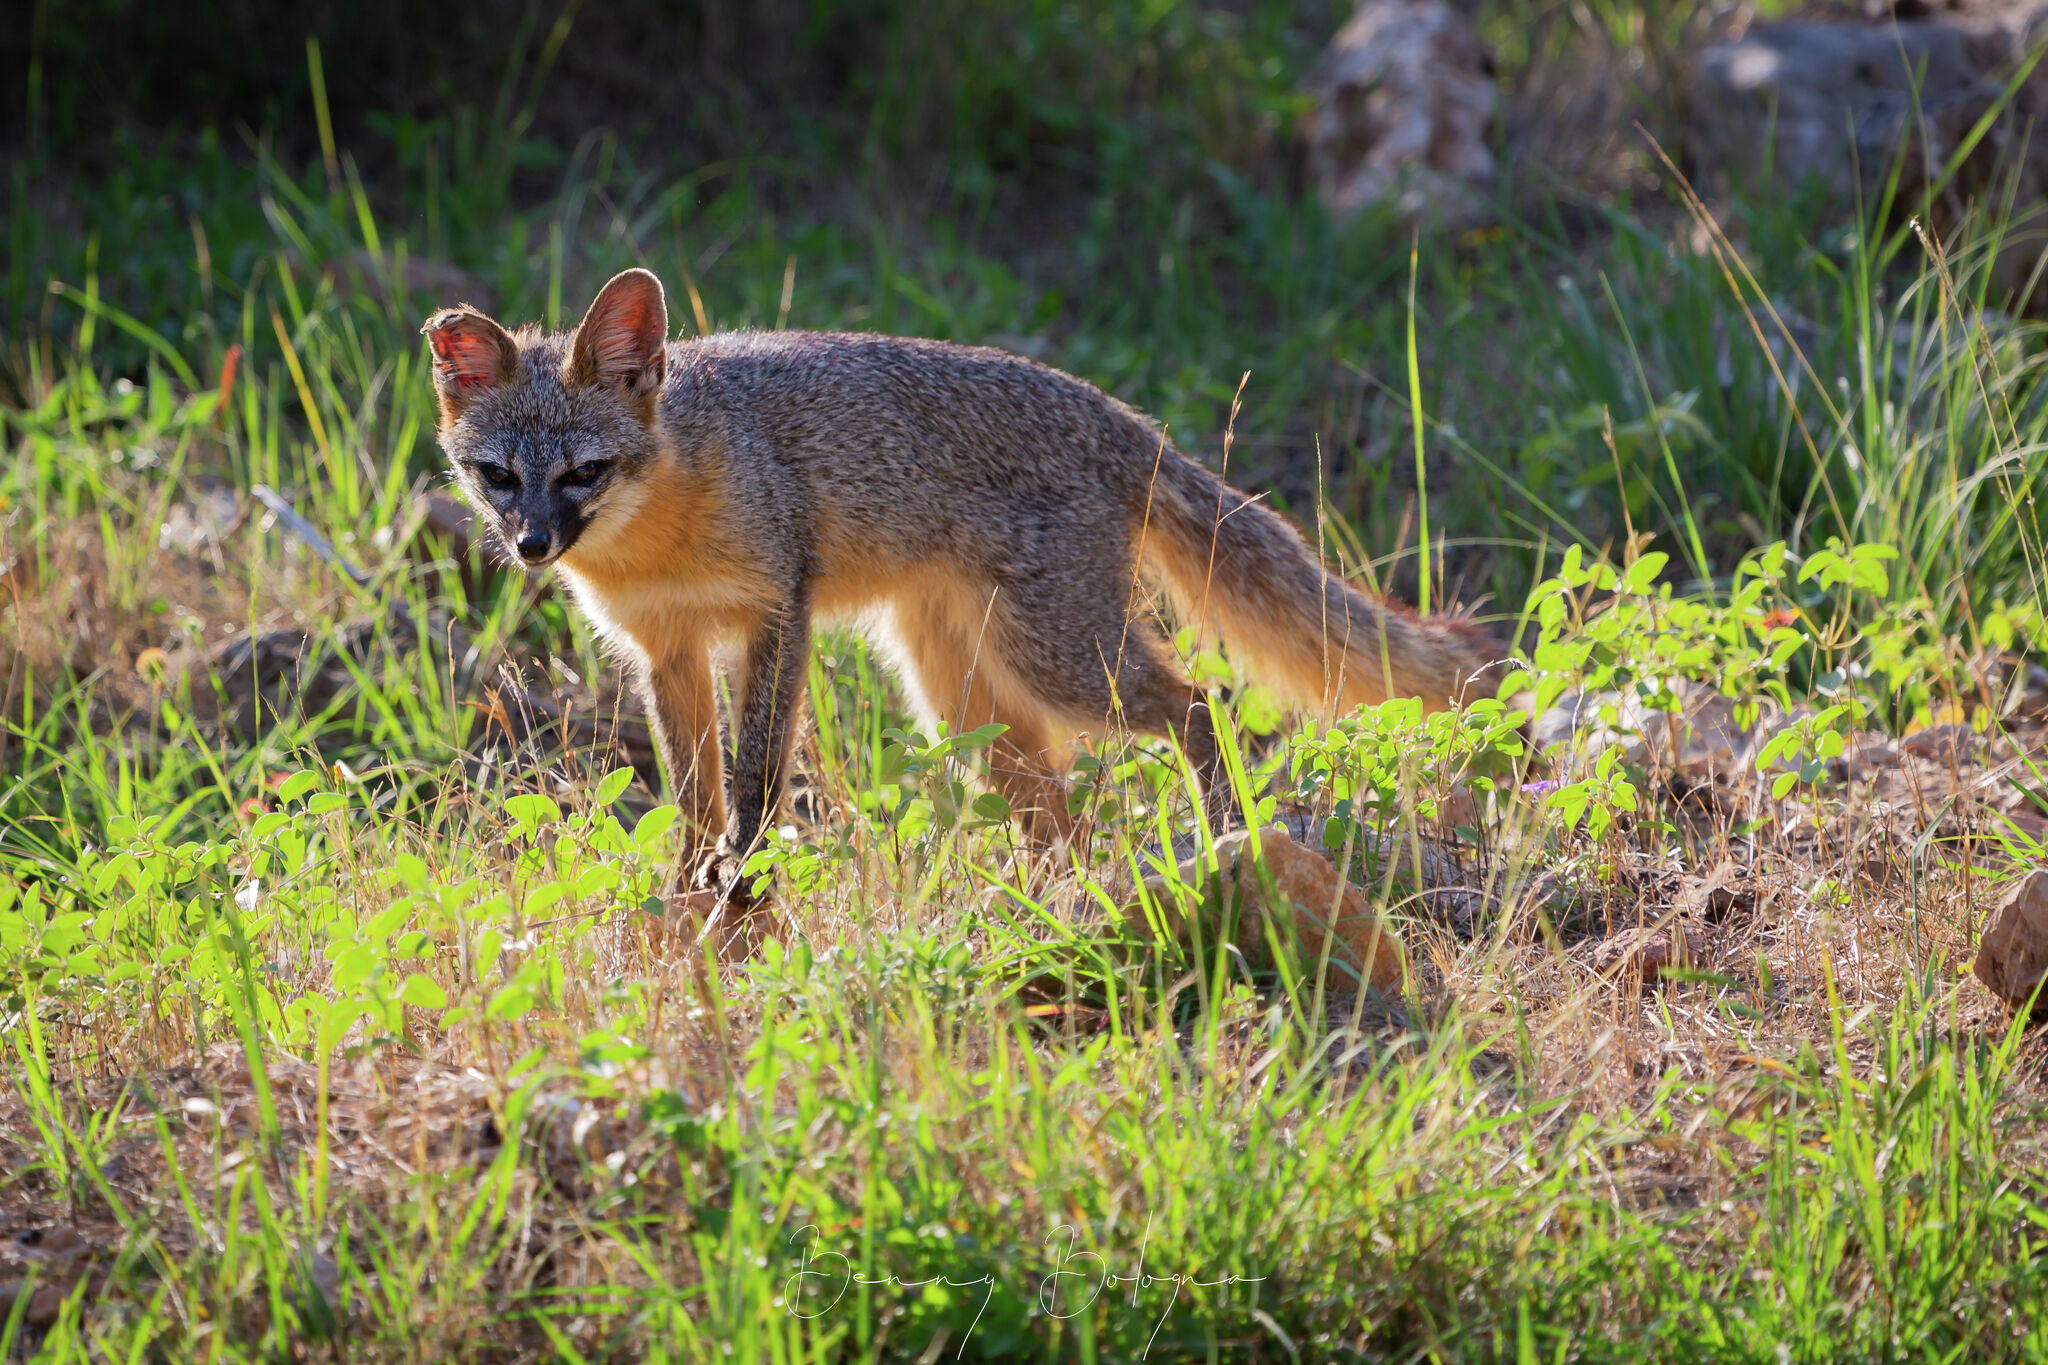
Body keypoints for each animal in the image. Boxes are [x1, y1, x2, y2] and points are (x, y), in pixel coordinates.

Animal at [423, 267, 1504, 905]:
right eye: (499, 477)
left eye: (583, 472)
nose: (530, 545)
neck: (659, 535)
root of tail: (1121, 419)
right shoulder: (666, 649)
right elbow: (693, 788)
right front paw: (690, 879)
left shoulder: (778, 609)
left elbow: (757, 771)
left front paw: (742, 865)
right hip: (964, 700)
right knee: (1060, 809)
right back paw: (1050, 899)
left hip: (1063, 662)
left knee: (1200, 704)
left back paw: (1219, 836)